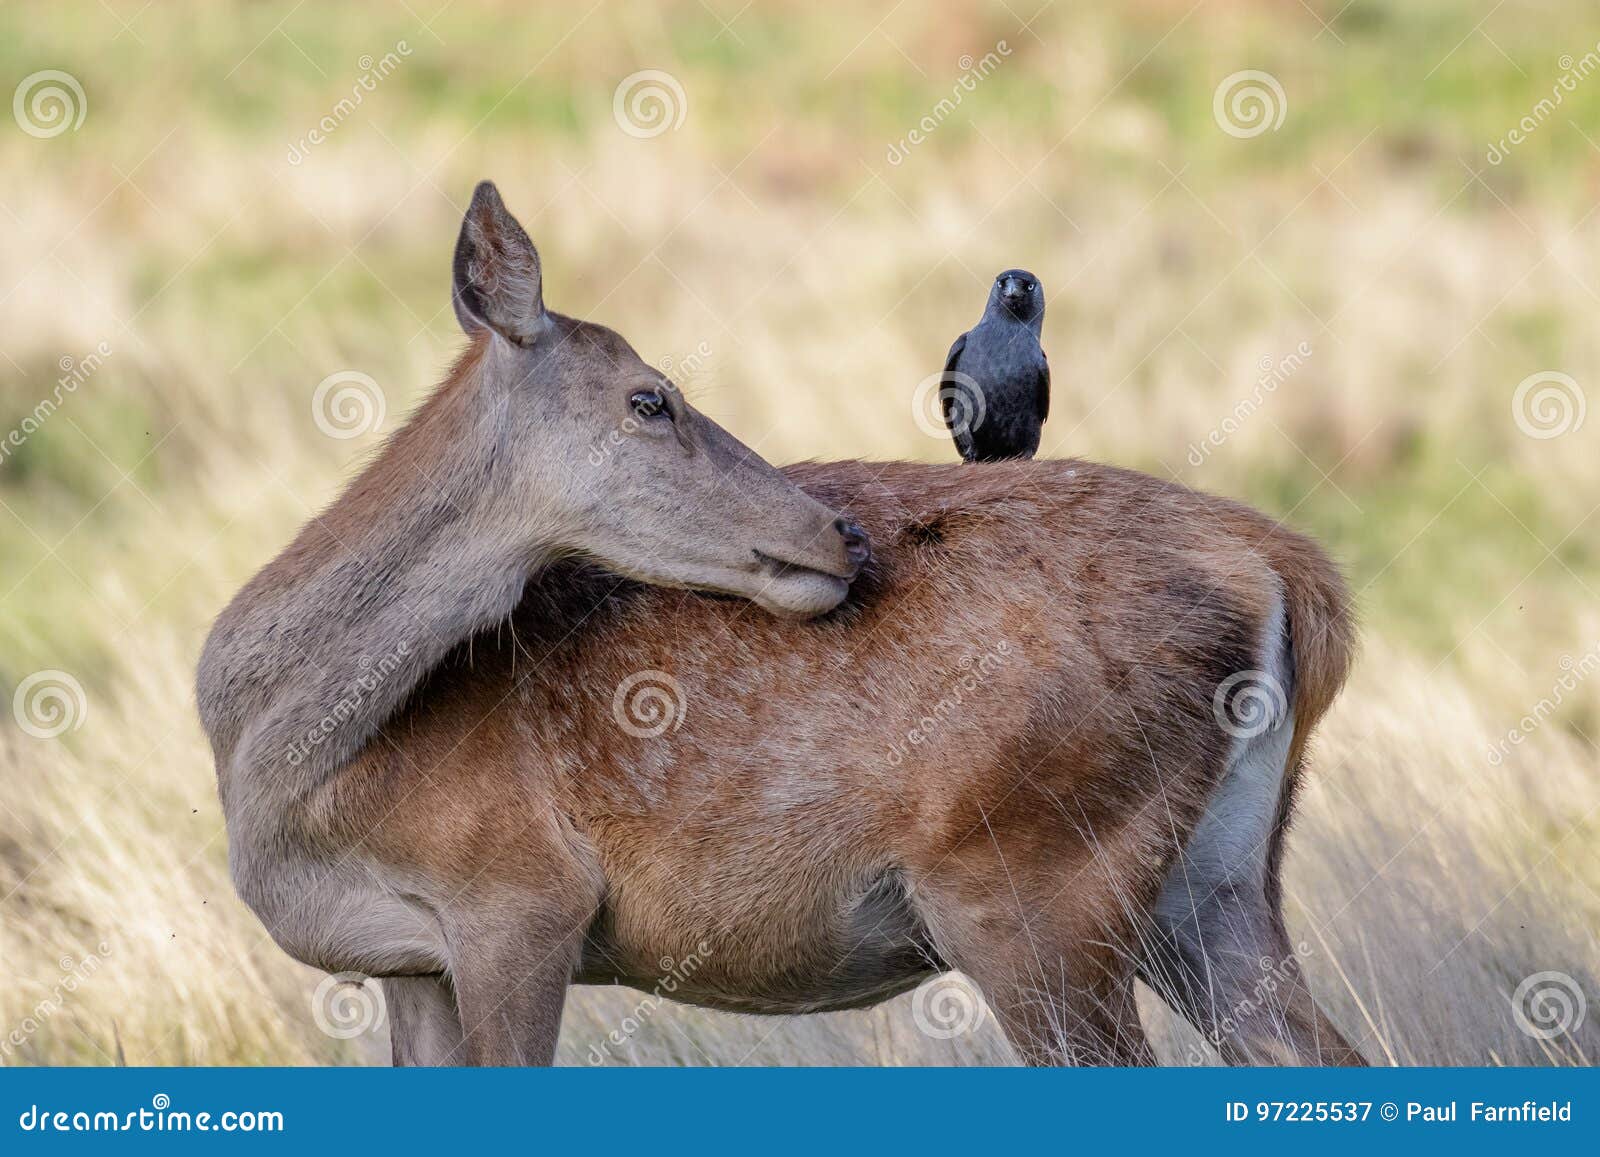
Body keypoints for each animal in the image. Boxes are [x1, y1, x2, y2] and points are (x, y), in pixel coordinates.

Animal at [197, 181, 1364, 1067]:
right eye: (650, 397)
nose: (836, 535)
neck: (286, 781)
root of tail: (1289, 572)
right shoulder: (409, 959)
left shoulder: (519, 897)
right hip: (1214, 881)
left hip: (1032, 880)